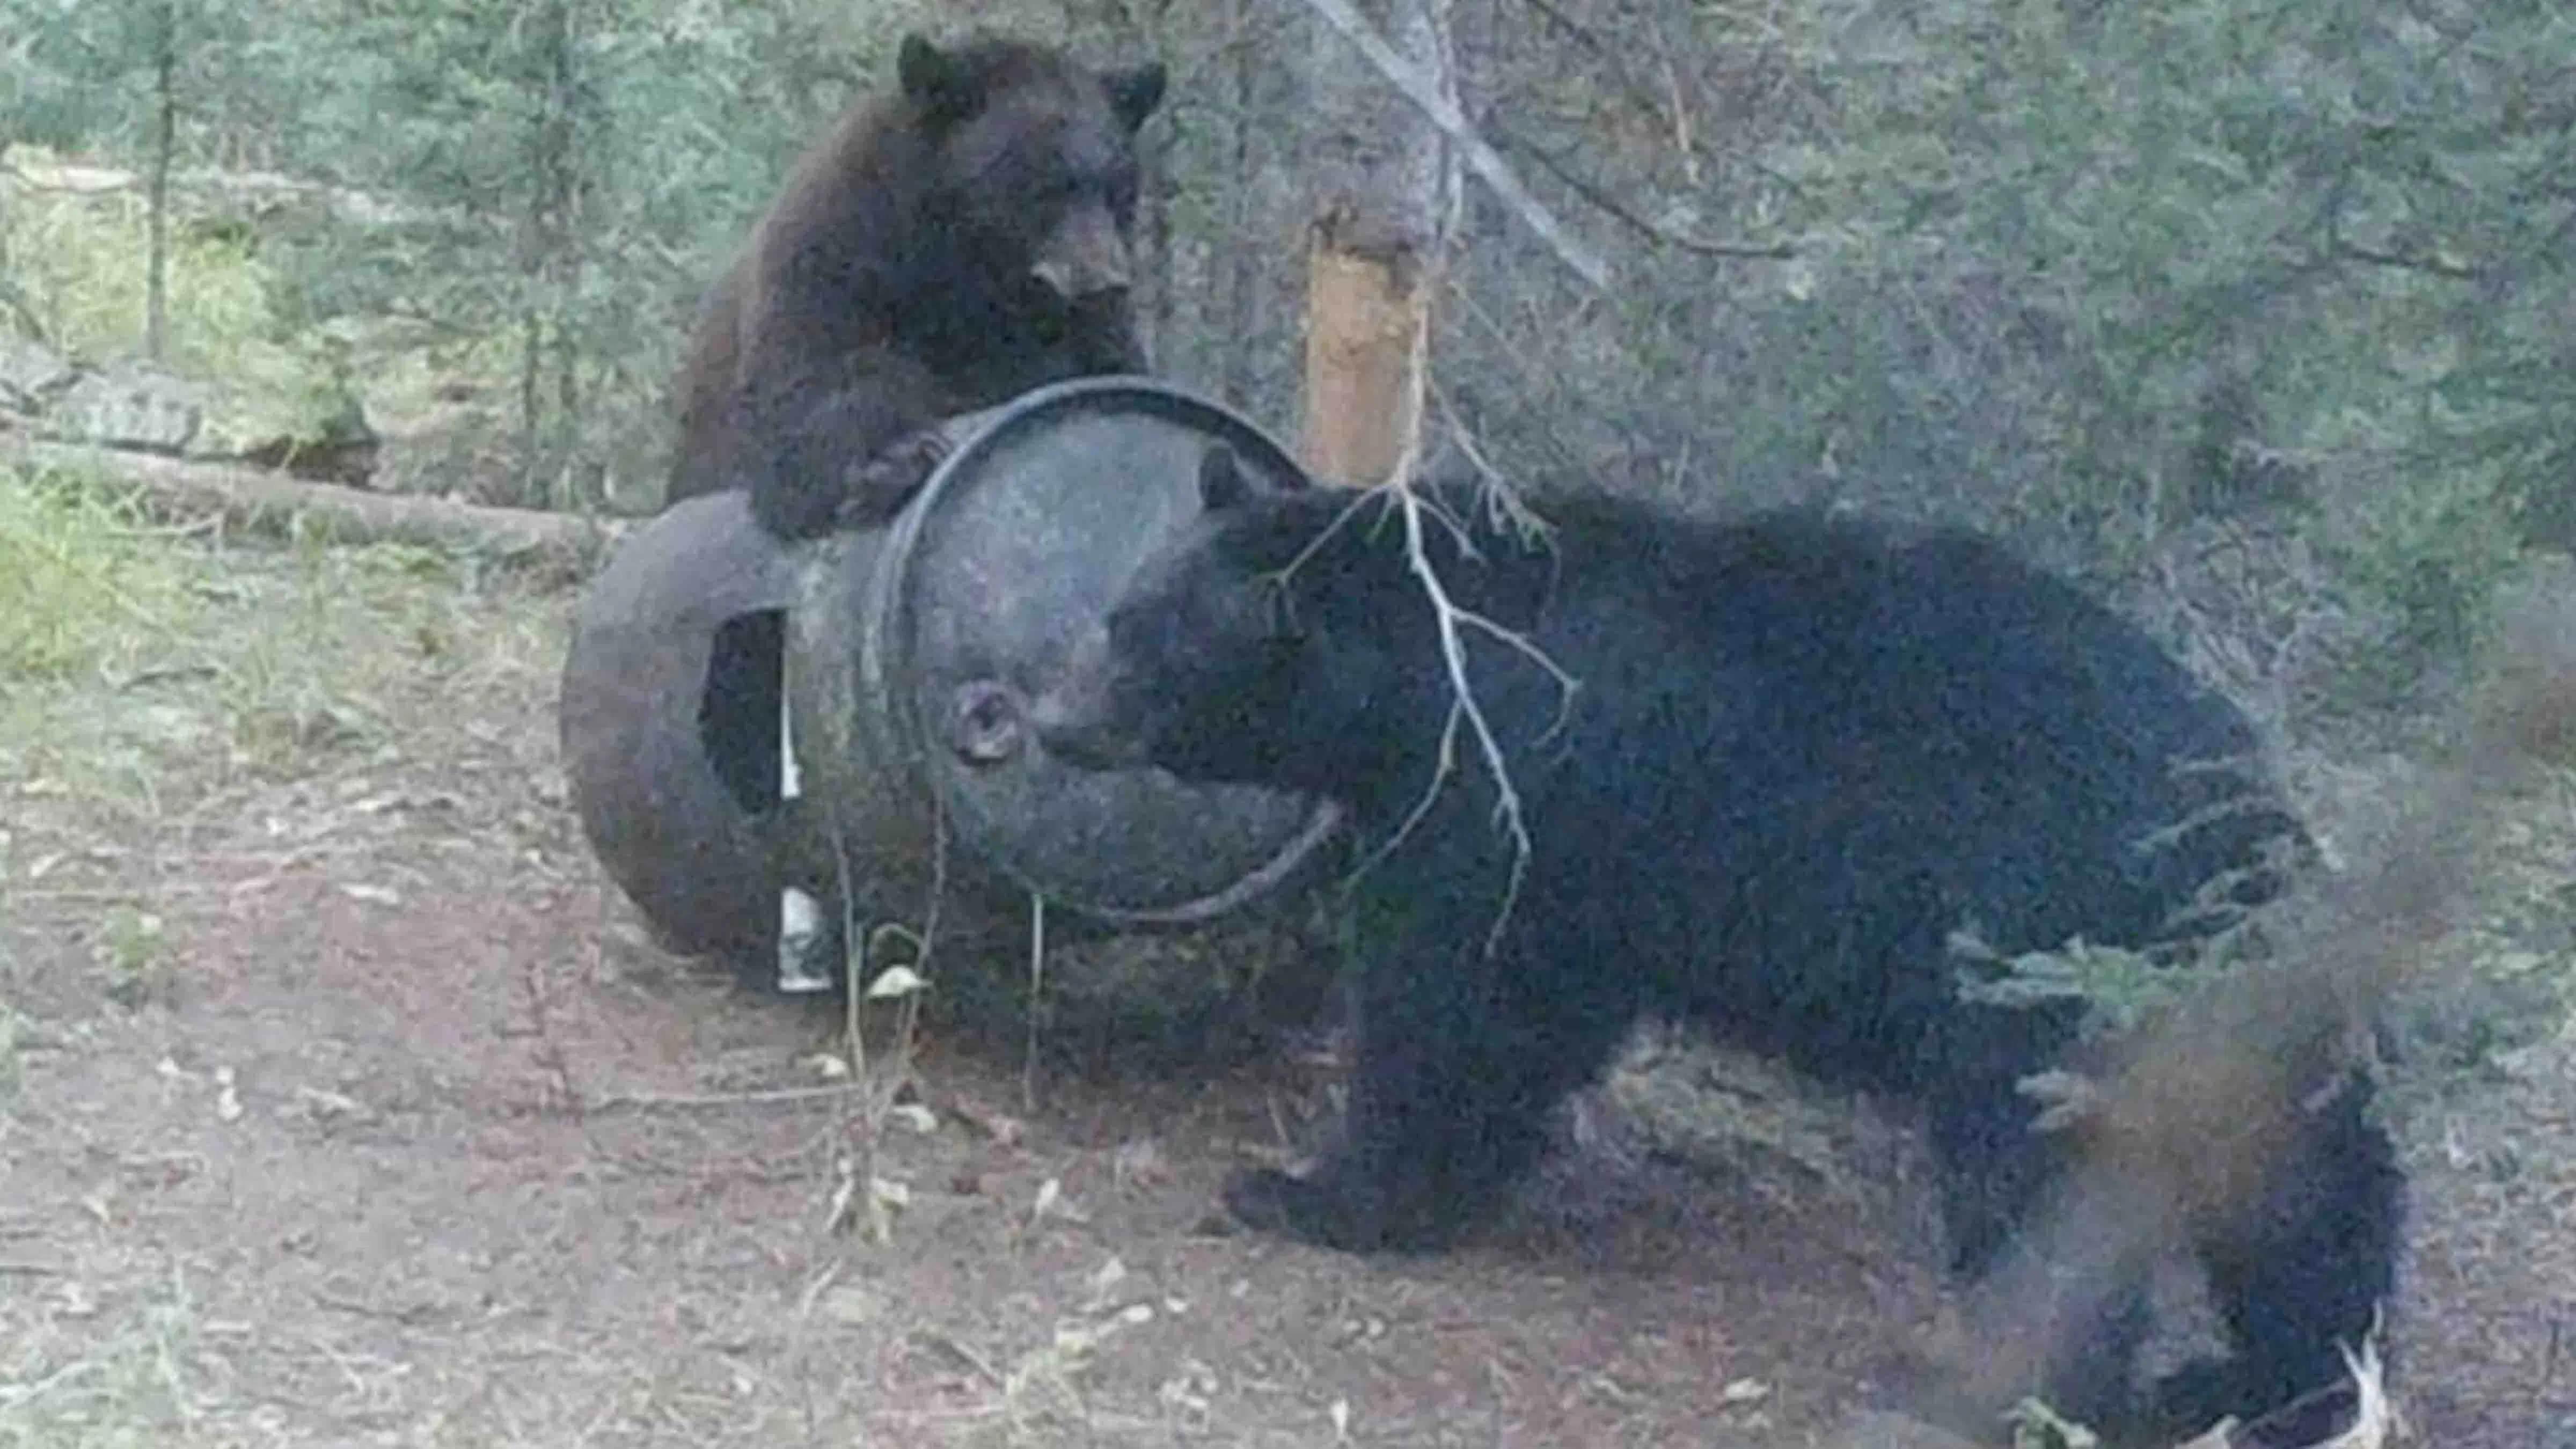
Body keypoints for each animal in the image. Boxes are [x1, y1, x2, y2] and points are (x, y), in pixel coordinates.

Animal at [665, 34, 1167, 539]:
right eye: (1046, 185)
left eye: (1118, 186)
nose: (1103, 283)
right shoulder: (833, 260)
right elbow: (809, 389)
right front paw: (895, 460)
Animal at [1029, 448, 2404, 1441]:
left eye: (1135, 630)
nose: (1045, 719)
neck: (1422, 666)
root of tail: (2246, 838)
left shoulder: (1508, 796)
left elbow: (1456, 1007)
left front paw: (1310, 1188)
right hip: (2256, 1011)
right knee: (2310, 1198)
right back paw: (2274, 1381)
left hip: (2042, 972)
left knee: (2048, 1186)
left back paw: (2011, 1387)